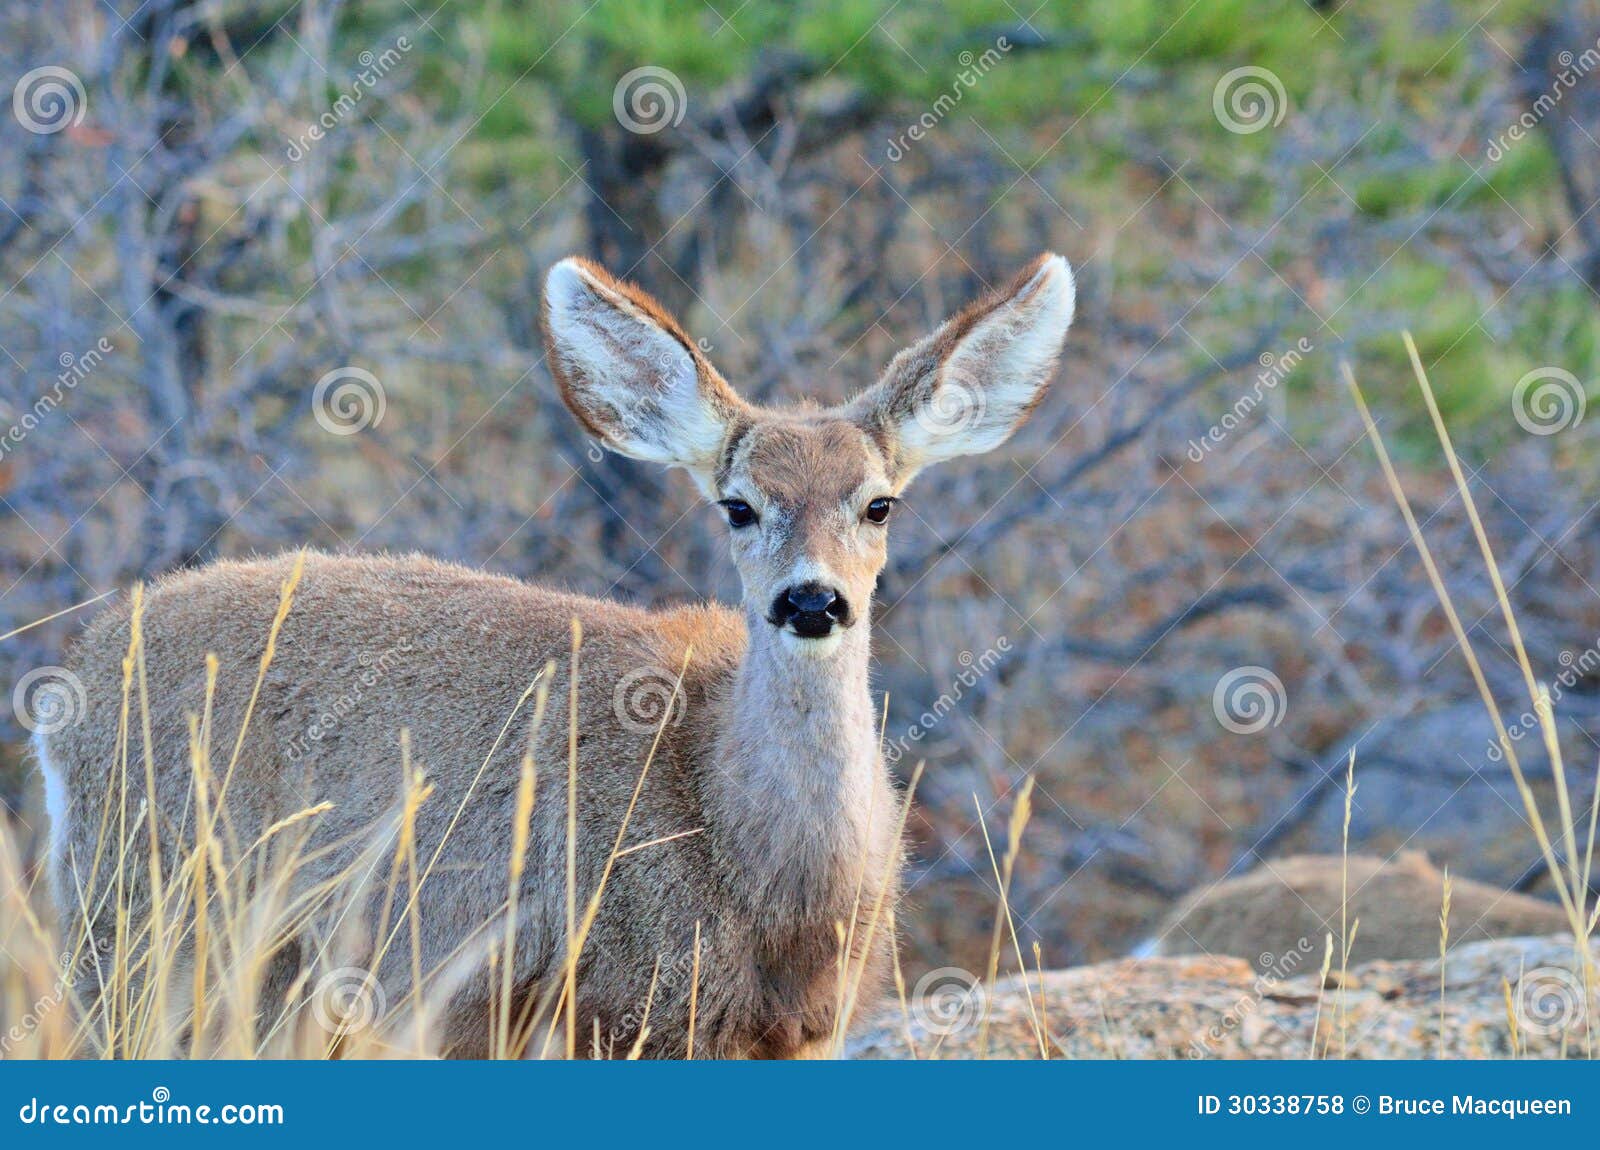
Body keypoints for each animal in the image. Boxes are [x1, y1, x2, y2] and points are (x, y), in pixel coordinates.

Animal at [37, 252, 1076, 1058]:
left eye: (879, 503)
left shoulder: (799, 1030)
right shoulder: (613, 1001)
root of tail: (72, 681)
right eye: (738, 504)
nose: (813, 599)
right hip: (141, 918)